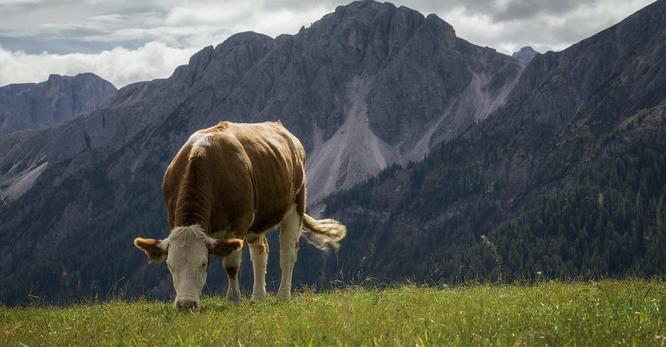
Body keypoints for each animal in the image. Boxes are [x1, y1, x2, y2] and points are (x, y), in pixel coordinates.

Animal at [132, 121, 344, 312]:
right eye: (170, 264)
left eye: (203, 263)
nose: (186, 305)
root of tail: (280, 127)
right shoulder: (172, 220)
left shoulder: (238, 223)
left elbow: (231, 266)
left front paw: (233, 299)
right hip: (257, 220)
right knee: (261, 250)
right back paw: (258, 296)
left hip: (295, 204)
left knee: (288, 252)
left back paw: (283, 296)